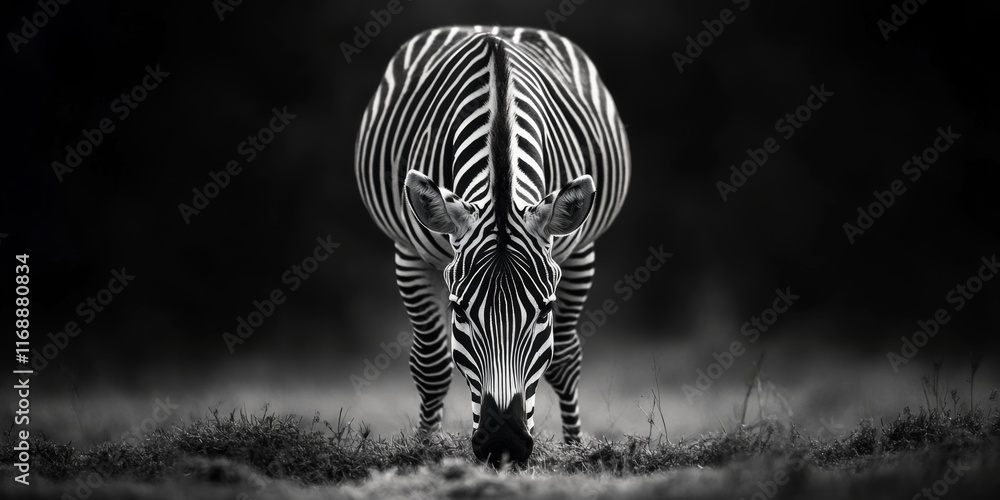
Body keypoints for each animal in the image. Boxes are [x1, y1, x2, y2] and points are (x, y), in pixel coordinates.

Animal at [355, 25, 630, 463]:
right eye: (459, 310)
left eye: (543, 311)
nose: (504, 442)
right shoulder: (409, 253)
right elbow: (431, 364)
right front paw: (422, 447)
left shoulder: (571, 251)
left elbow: (561, 359)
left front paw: (573, 451)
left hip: (582, 249)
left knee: (567, 358)